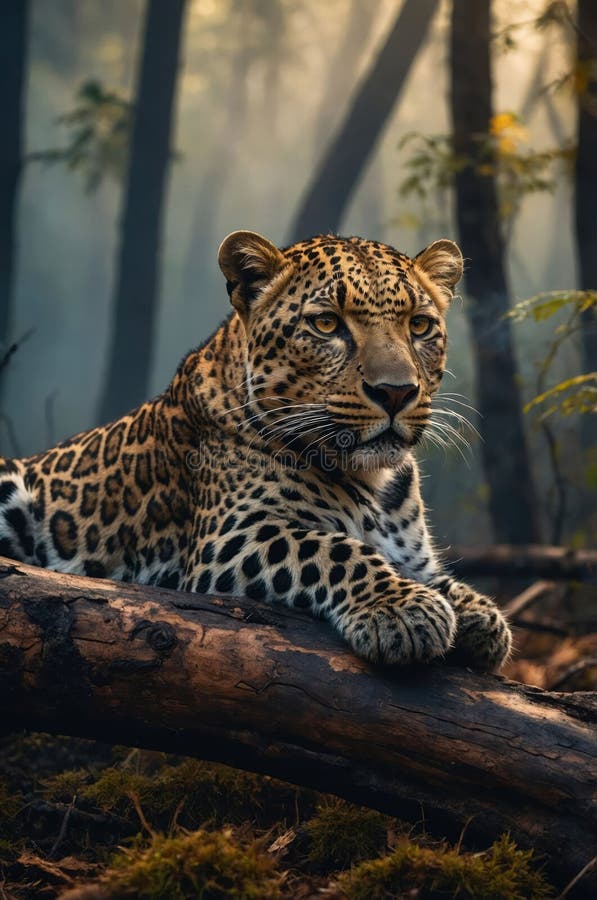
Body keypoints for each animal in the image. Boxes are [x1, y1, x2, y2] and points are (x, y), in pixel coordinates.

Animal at [0, 230, 511, 670]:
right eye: (327, 323)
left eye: (420, 325)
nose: (396, 392)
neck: (374, 481)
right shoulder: (231, 538)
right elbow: (337, 549)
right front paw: (402, 609)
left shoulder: (412, 555)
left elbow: (432, 575)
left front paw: (478, 614)